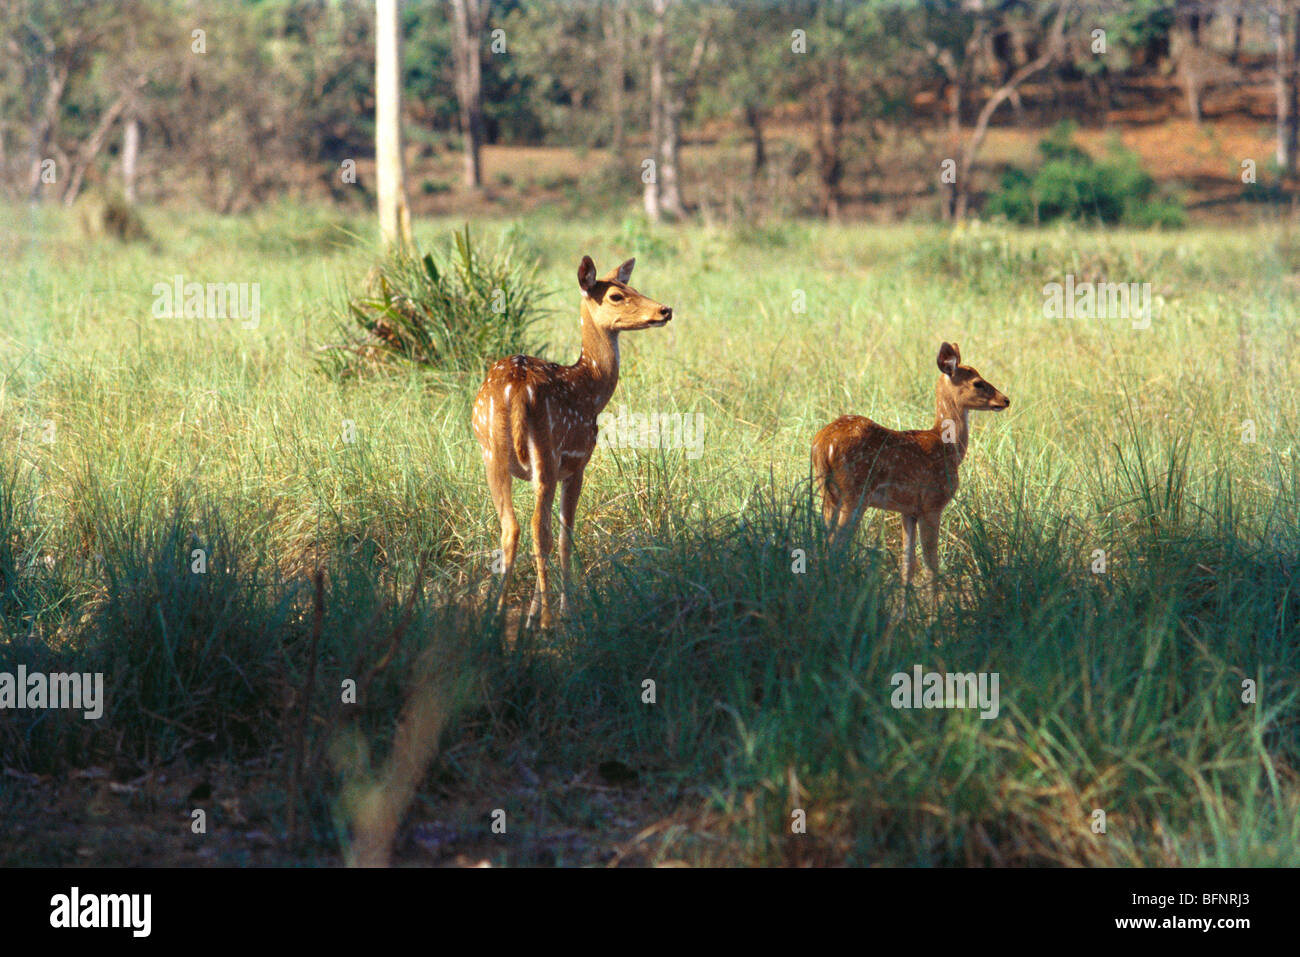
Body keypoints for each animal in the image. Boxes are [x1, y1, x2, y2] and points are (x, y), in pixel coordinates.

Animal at [471, 255, 672, 629]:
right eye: (616, 296)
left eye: (633, 287)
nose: (665, 310)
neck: (590, 389)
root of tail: (516, 388)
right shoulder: (578, 462)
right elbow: (566, 535)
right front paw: (563, 609)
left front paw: (532, 610)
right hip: (547, 451)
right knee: (539, 530)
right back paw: (549, 620)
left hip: (491, 451)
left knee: (511, 527)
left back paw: (498, 612)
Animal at [811, 342, 1009, 590]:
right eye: (977, 382)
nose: (1005, 400)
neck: (947, 447)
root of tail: (822, 444)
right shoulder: (932, 504)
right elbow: (931, 565)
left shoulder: (908, 510)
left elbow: (908, 564)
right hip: (854, 494)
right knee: (836, 547)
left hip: (827, 494)